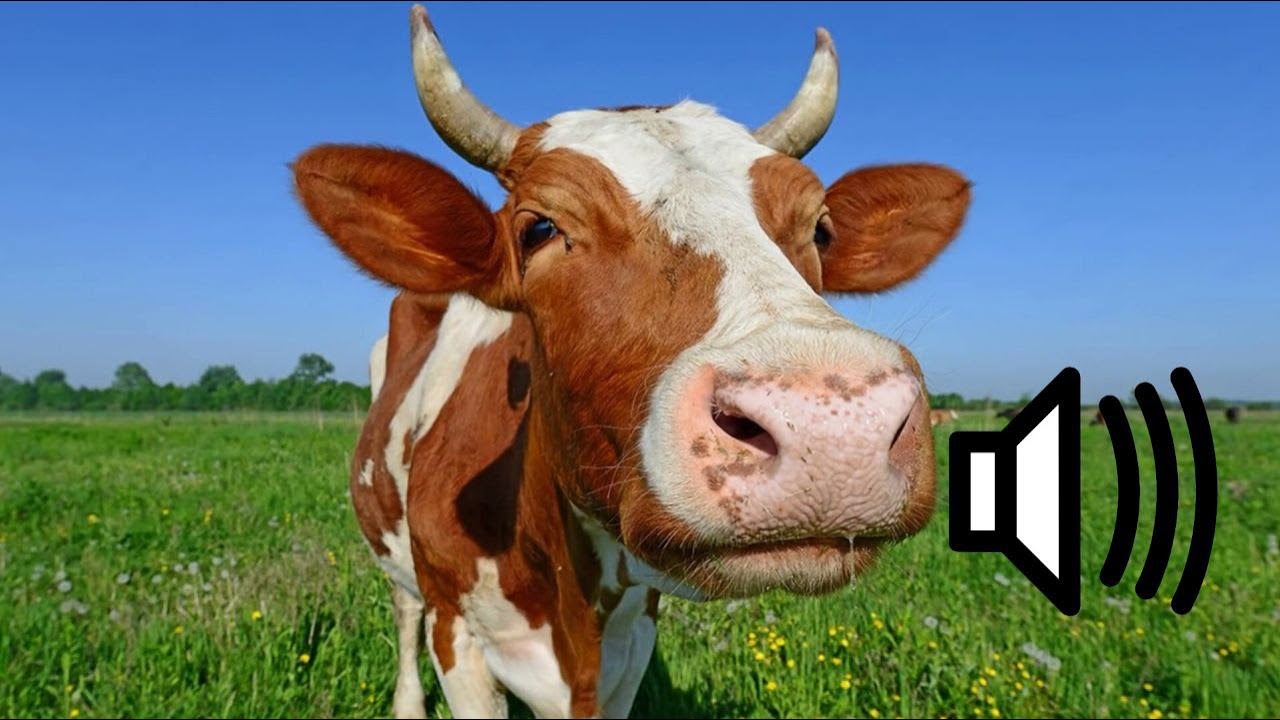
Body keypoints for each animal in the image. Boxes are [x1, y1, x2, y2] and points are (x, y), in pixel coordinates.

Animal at [291, 5, 971, 718]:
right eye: (538, 228)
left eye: (820, 228)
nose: (832, 421)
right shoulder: (459, 634)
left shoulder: (633, 639)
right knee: (404, 612)